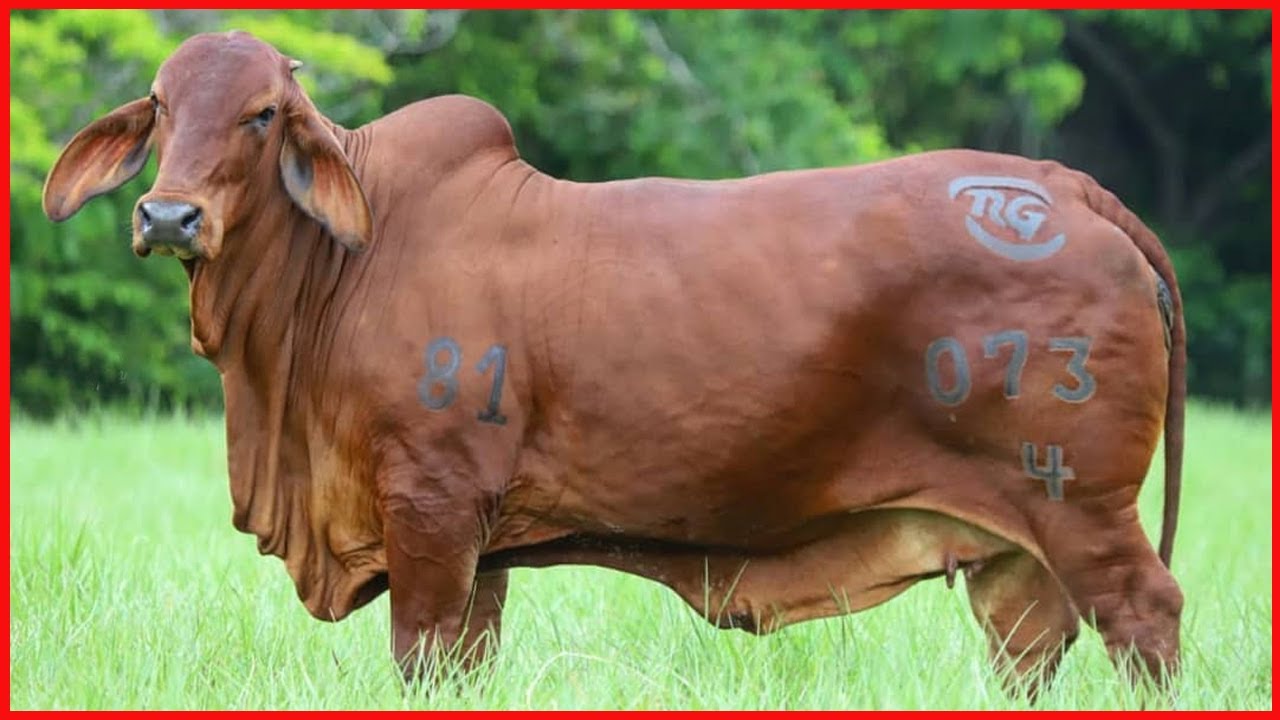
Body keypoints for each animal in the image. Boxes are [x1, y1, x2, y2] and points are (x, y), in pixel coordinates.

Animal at [43, 31, 1185, 695]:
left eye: (264, 114)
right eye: (158, 105)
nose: (167, 216)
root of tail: (1067, 186)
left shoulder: (429, 511)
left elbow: (420, 659)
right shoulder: (481, 550)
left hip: (1081, 509)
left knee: (1147, 617)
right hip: (1014, 554)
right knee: (1031, 647)